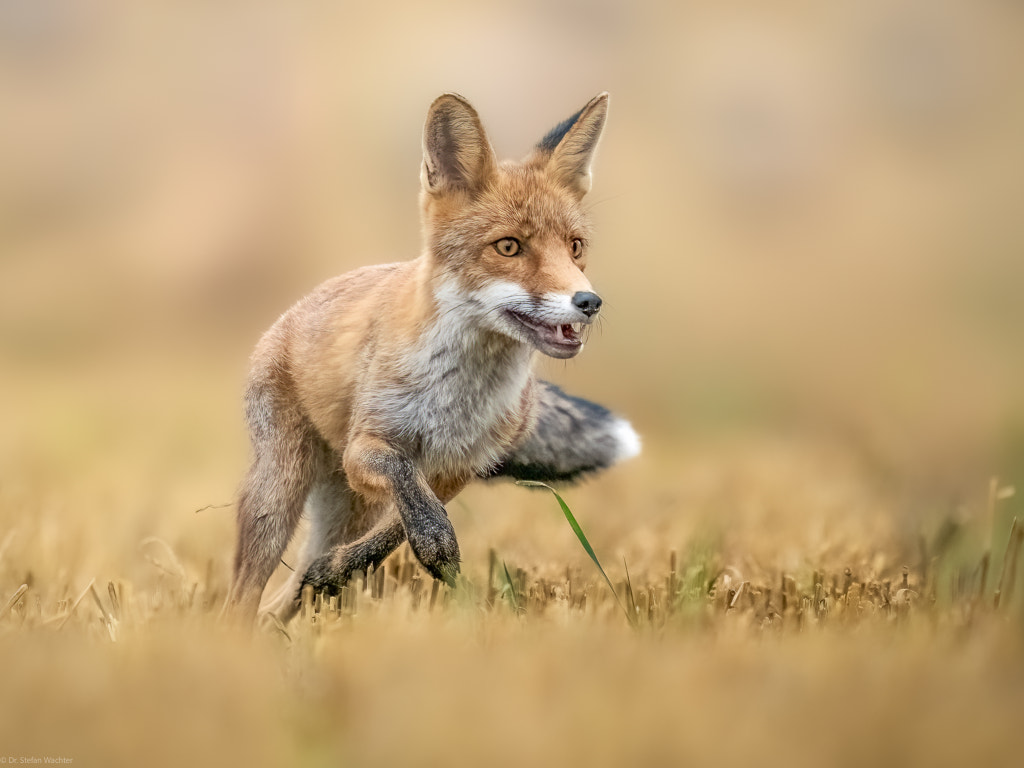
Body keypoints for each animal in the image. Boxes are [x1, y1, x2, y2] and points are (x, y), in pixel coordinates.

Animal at [222, 92, 640, 625]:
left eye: (575, 247)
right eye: (509, 246)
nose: (589, 302)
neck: (458, 396)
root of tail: (295, 308)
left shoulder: (457, 468)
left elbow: (397, 528)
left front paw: (340, 569)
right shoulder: (370, 447)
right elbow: (412, 498)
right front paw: (436, 552)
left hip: (346, 505)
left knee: (286, 590)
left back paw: (293, 608)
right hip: (280, 489)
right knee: (243, 592)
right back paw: (236, 633)